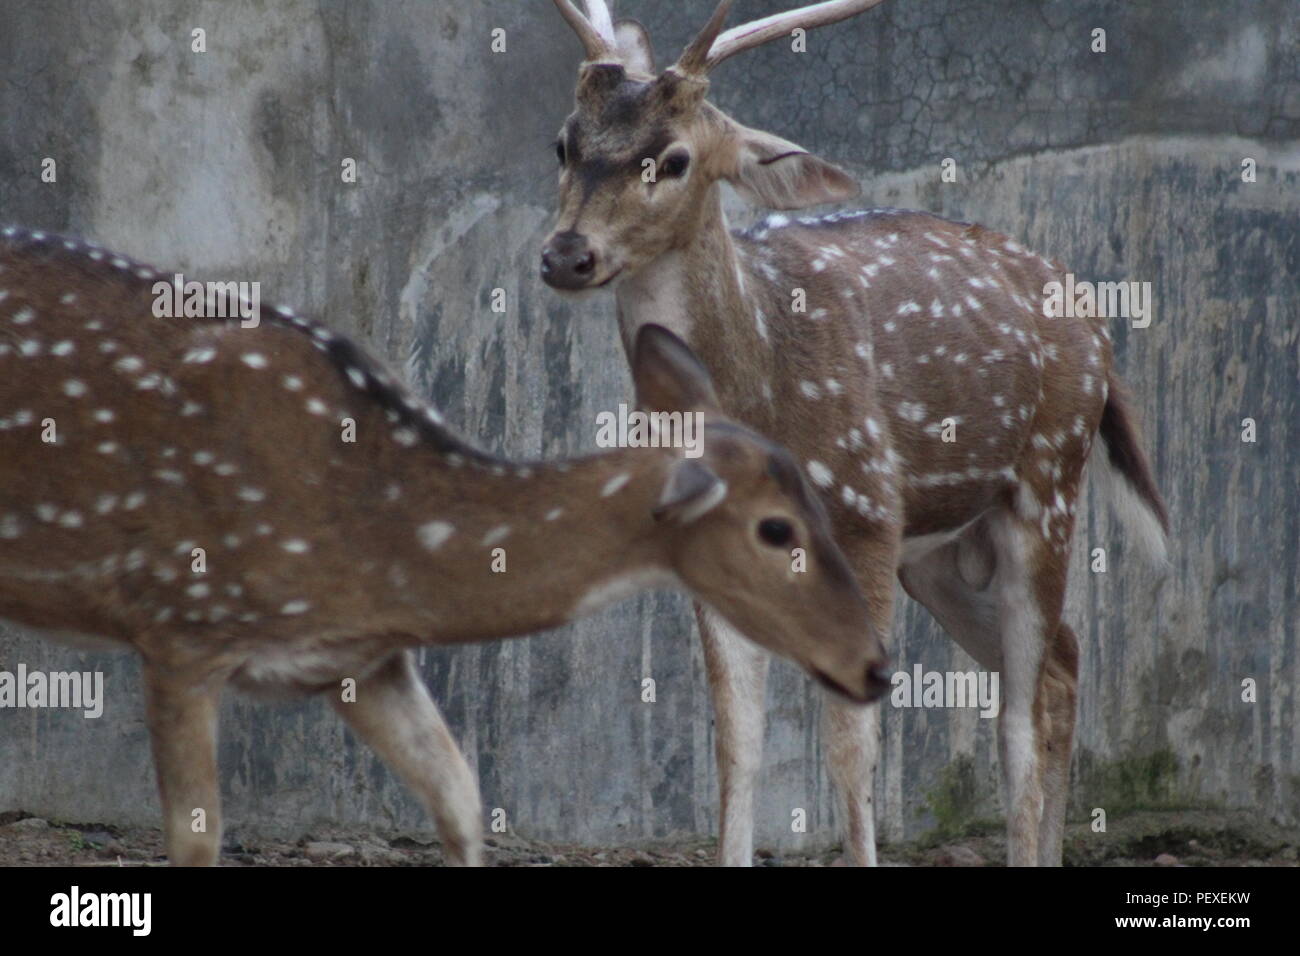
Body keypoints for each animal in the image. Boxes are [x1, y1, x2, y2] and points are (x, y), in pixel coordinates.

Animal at [0, 224, 891, 866]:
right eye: (776, 528)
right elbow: (196, 837)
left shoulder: (362, 659)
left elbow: (461, 796)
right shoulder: (180, 622)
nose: (877, 667)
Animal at [542, 0, 1170, 866]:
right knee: (1063, 664)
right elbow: (735, 741)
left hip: (1047, 480)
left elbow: (851, 744)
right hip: (941, 552)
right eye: (564, 142)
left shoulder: (866, 513)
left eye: (671, 158)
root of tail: (1100, 333)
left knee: (1018, 715)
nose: (566, 255)